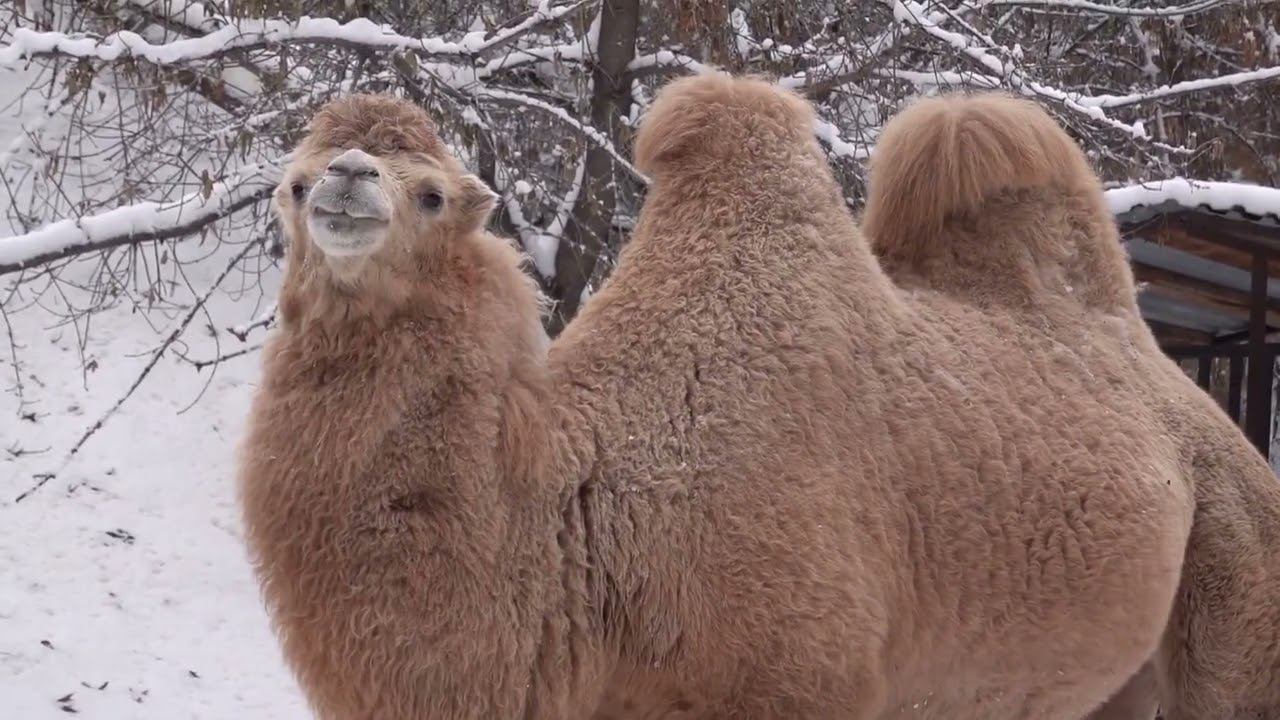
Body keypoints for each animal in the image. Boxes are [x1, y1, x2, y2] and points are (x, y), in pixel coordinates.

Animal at [239, 80, 1280, 720]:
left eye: (430, 195)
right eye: (292, 182)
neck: (592, 520)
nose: (346, 182)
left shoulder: (801, 678)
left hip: (1237, 563)